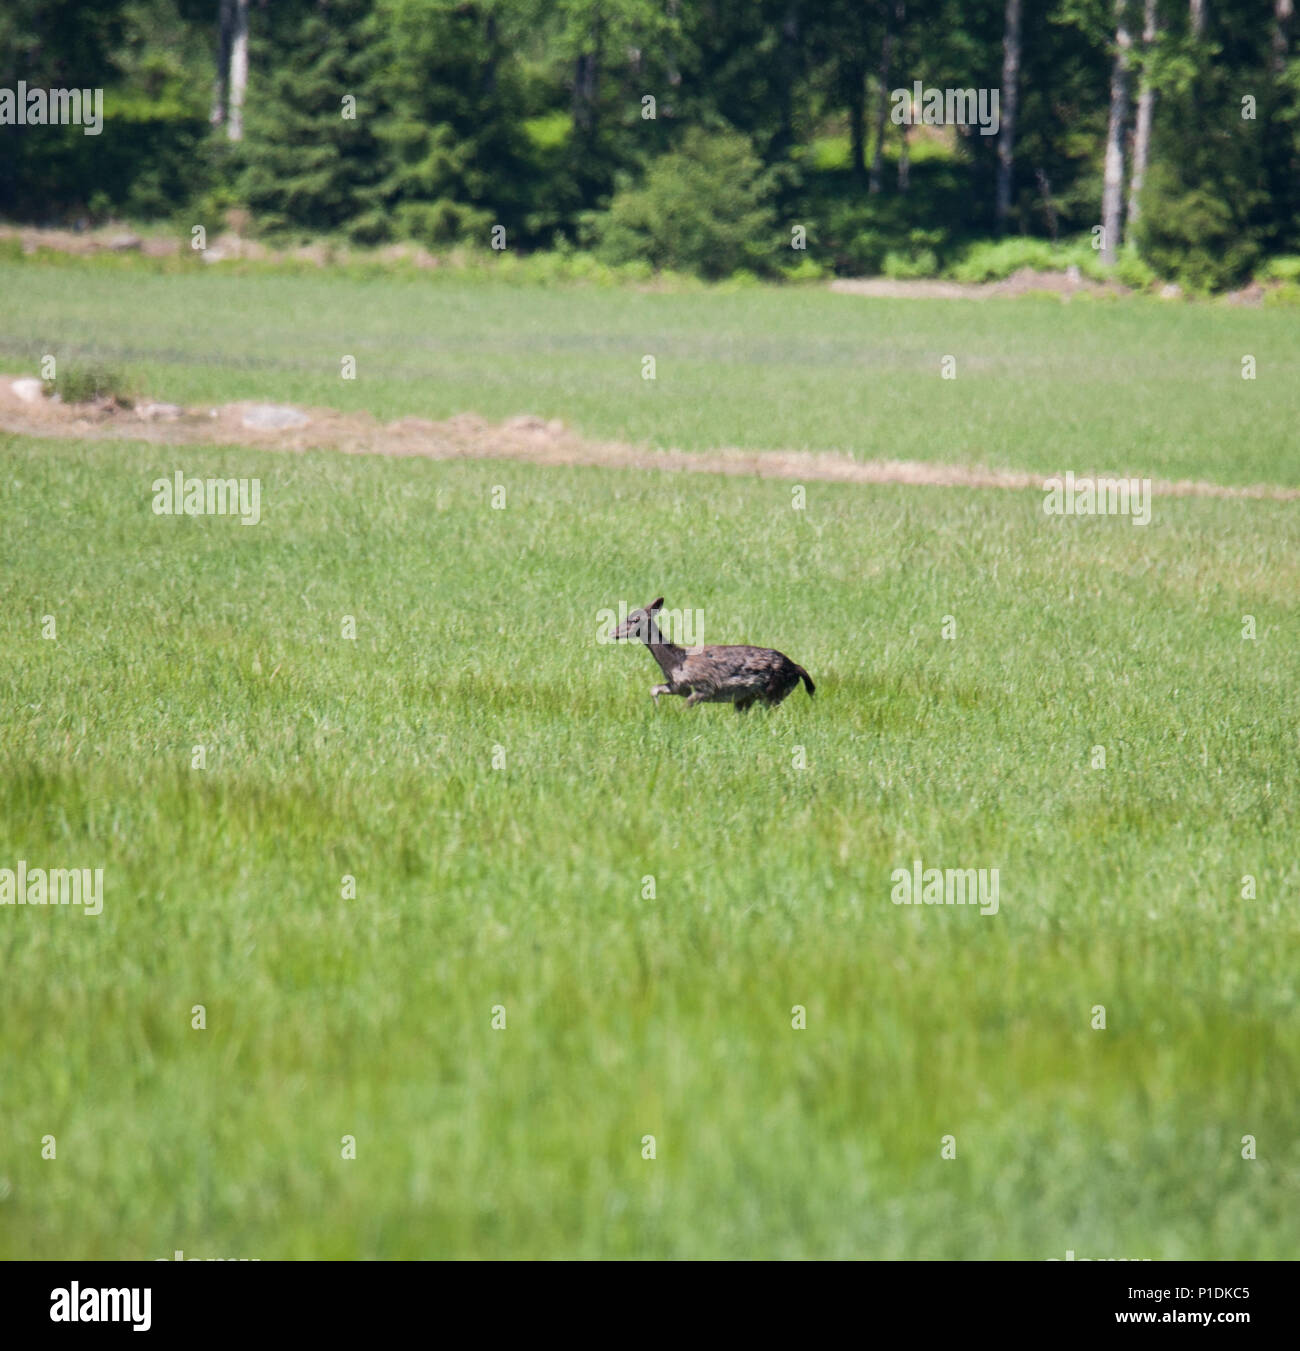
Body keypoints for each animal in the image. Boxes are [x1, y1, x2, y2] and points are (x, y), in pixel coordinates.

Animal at [611, 598, 815, 712]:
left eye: (635, 619)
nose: (613, 632)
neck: (676, 663)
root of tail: (796, 668)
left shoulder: (705, 688)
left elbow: (683, 709)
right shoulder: (679, 686)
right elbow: (654, 688)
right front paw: (657, 709)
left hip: (773, 692)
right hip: (747, 699)